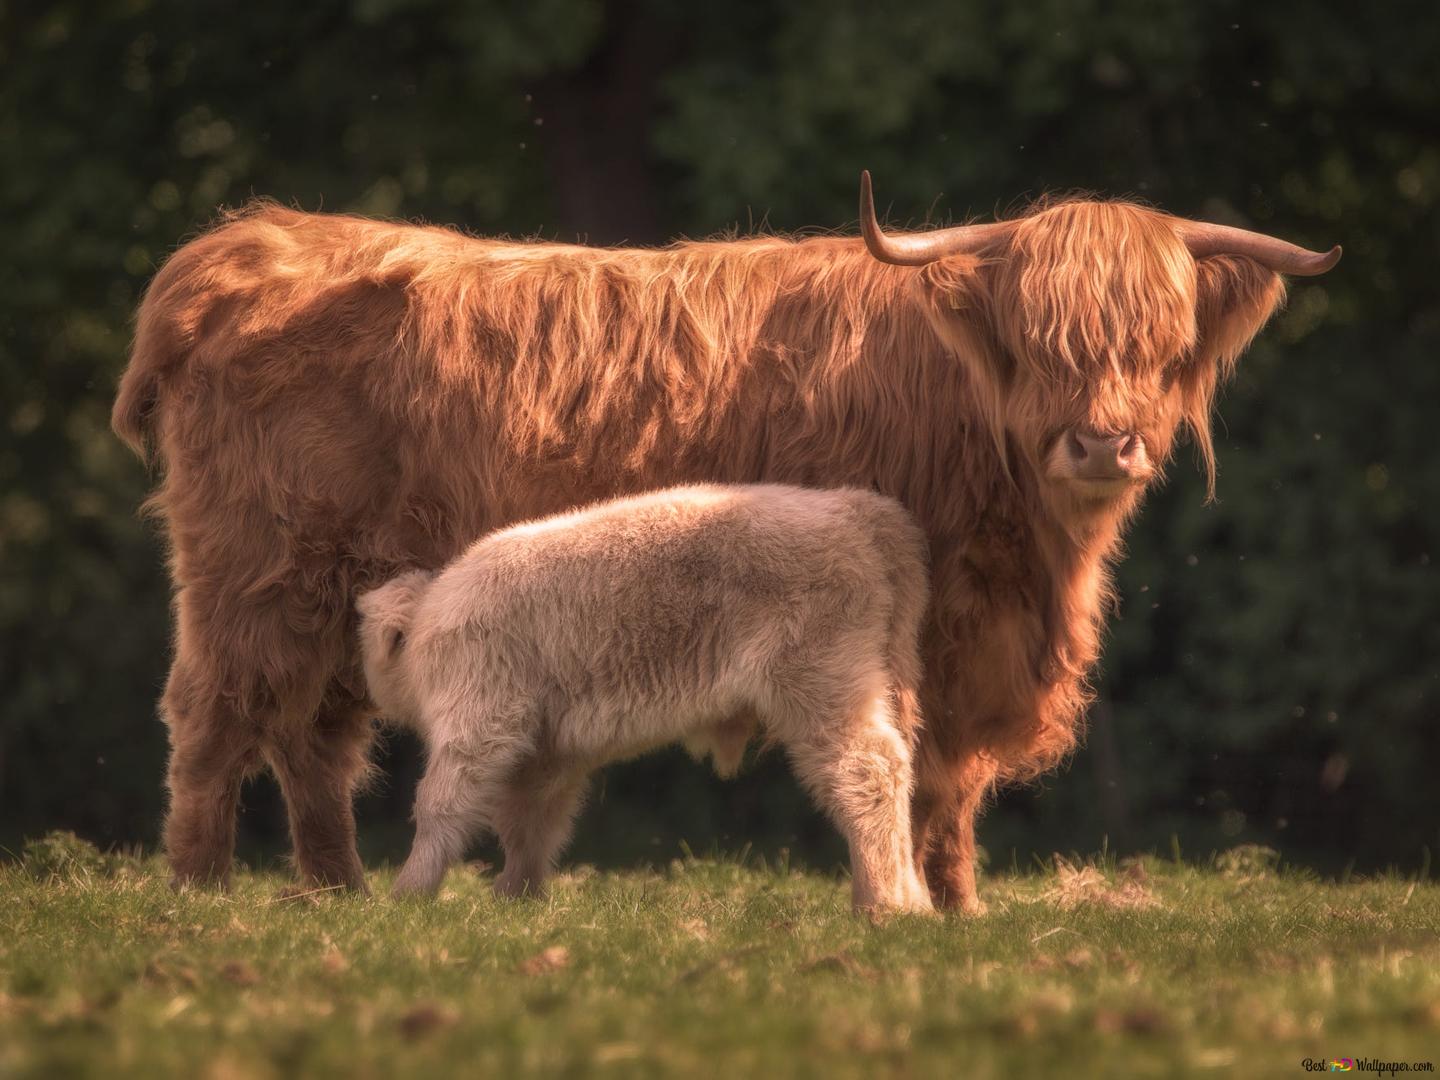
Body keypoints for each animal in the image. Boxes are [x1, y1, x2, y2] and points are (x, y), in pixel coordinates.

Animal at [356, 484, 931, 911]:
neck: (429, 619)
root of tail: (857, 511)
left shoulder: (480, 722)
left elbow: (440, 803)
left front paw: (409, 894)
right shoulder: (544, 755)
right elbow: (530, 822)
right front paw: (516, 897)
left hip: (823, 686)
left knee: (869, 769)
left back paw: (880, 903)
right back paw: (910, 901)